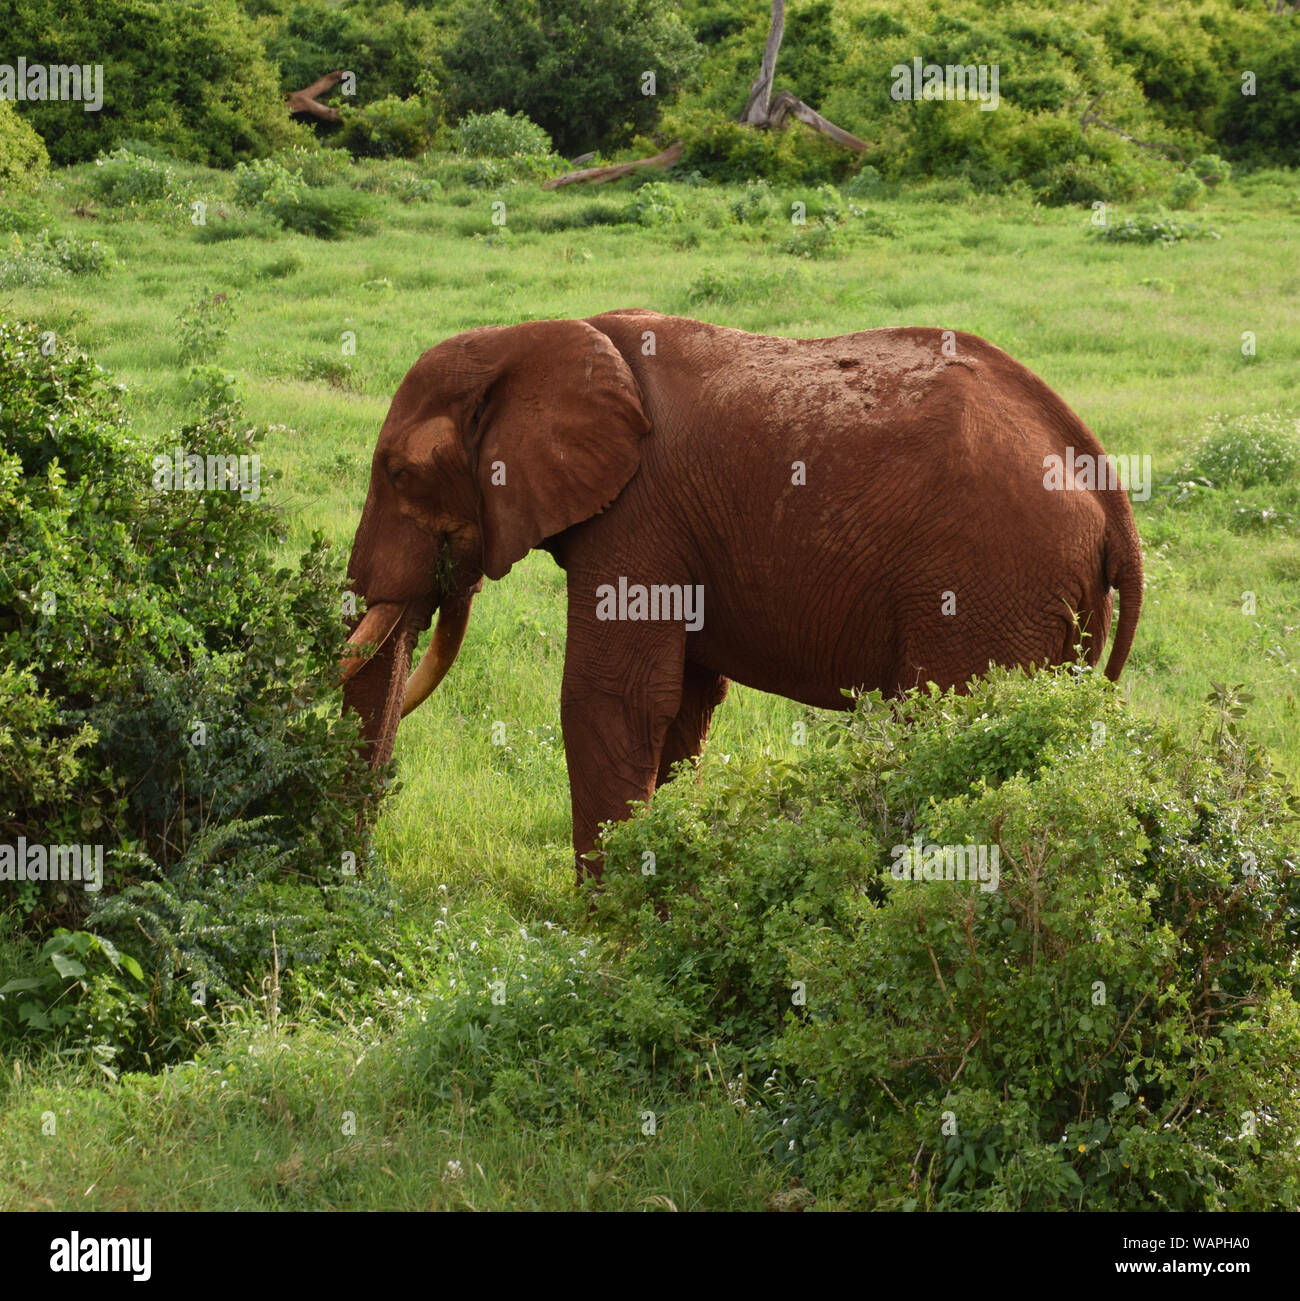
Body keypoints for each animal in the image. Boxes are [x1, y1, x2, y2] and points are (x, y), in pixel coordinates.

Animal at [340, 310, 1142, 883]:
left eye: (400, 474)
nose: (359, 873)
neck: (530, 338)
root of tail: (1110, 498)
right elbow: (682, 706)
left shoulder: (638, 515)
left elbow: (611, 696)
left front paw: (604, 932)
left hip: (985, 588)